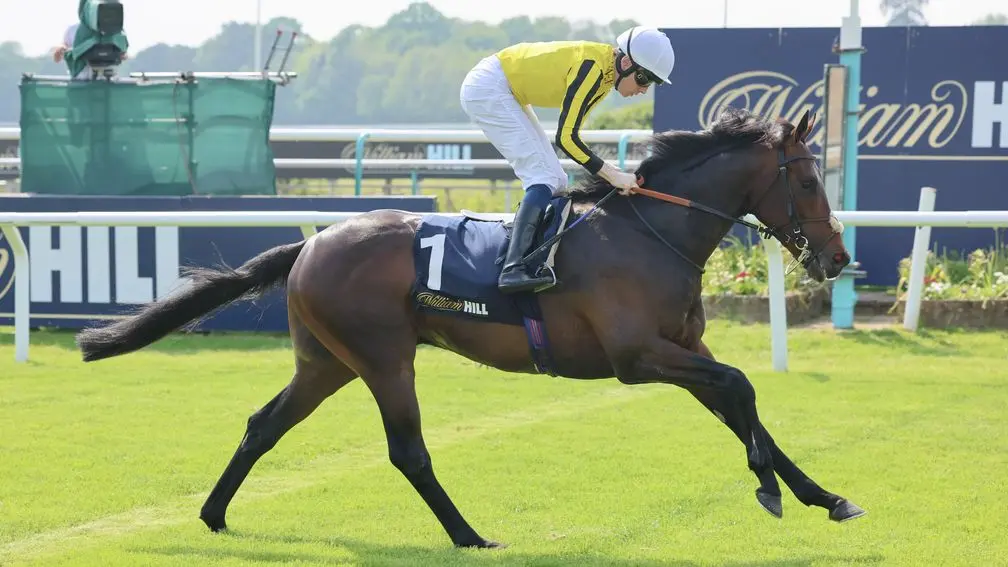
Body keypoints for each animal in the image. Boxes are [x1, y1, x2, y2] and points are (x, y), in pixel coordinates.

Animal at [75, 106, 866, 549]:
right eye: (807, 181)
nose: (836, 257)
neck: (652, 232)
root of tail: (313, 243)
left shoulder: (683, 347)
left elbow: (745, 407)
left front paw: (823, 496)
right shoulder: (638, 356)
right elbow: (741, 390)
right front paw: (771, 488)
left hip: (325, 362)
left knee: (263, 424)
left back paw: (213, 514)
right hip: (382, 357)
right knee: (407, 451)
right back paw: (469, 534)